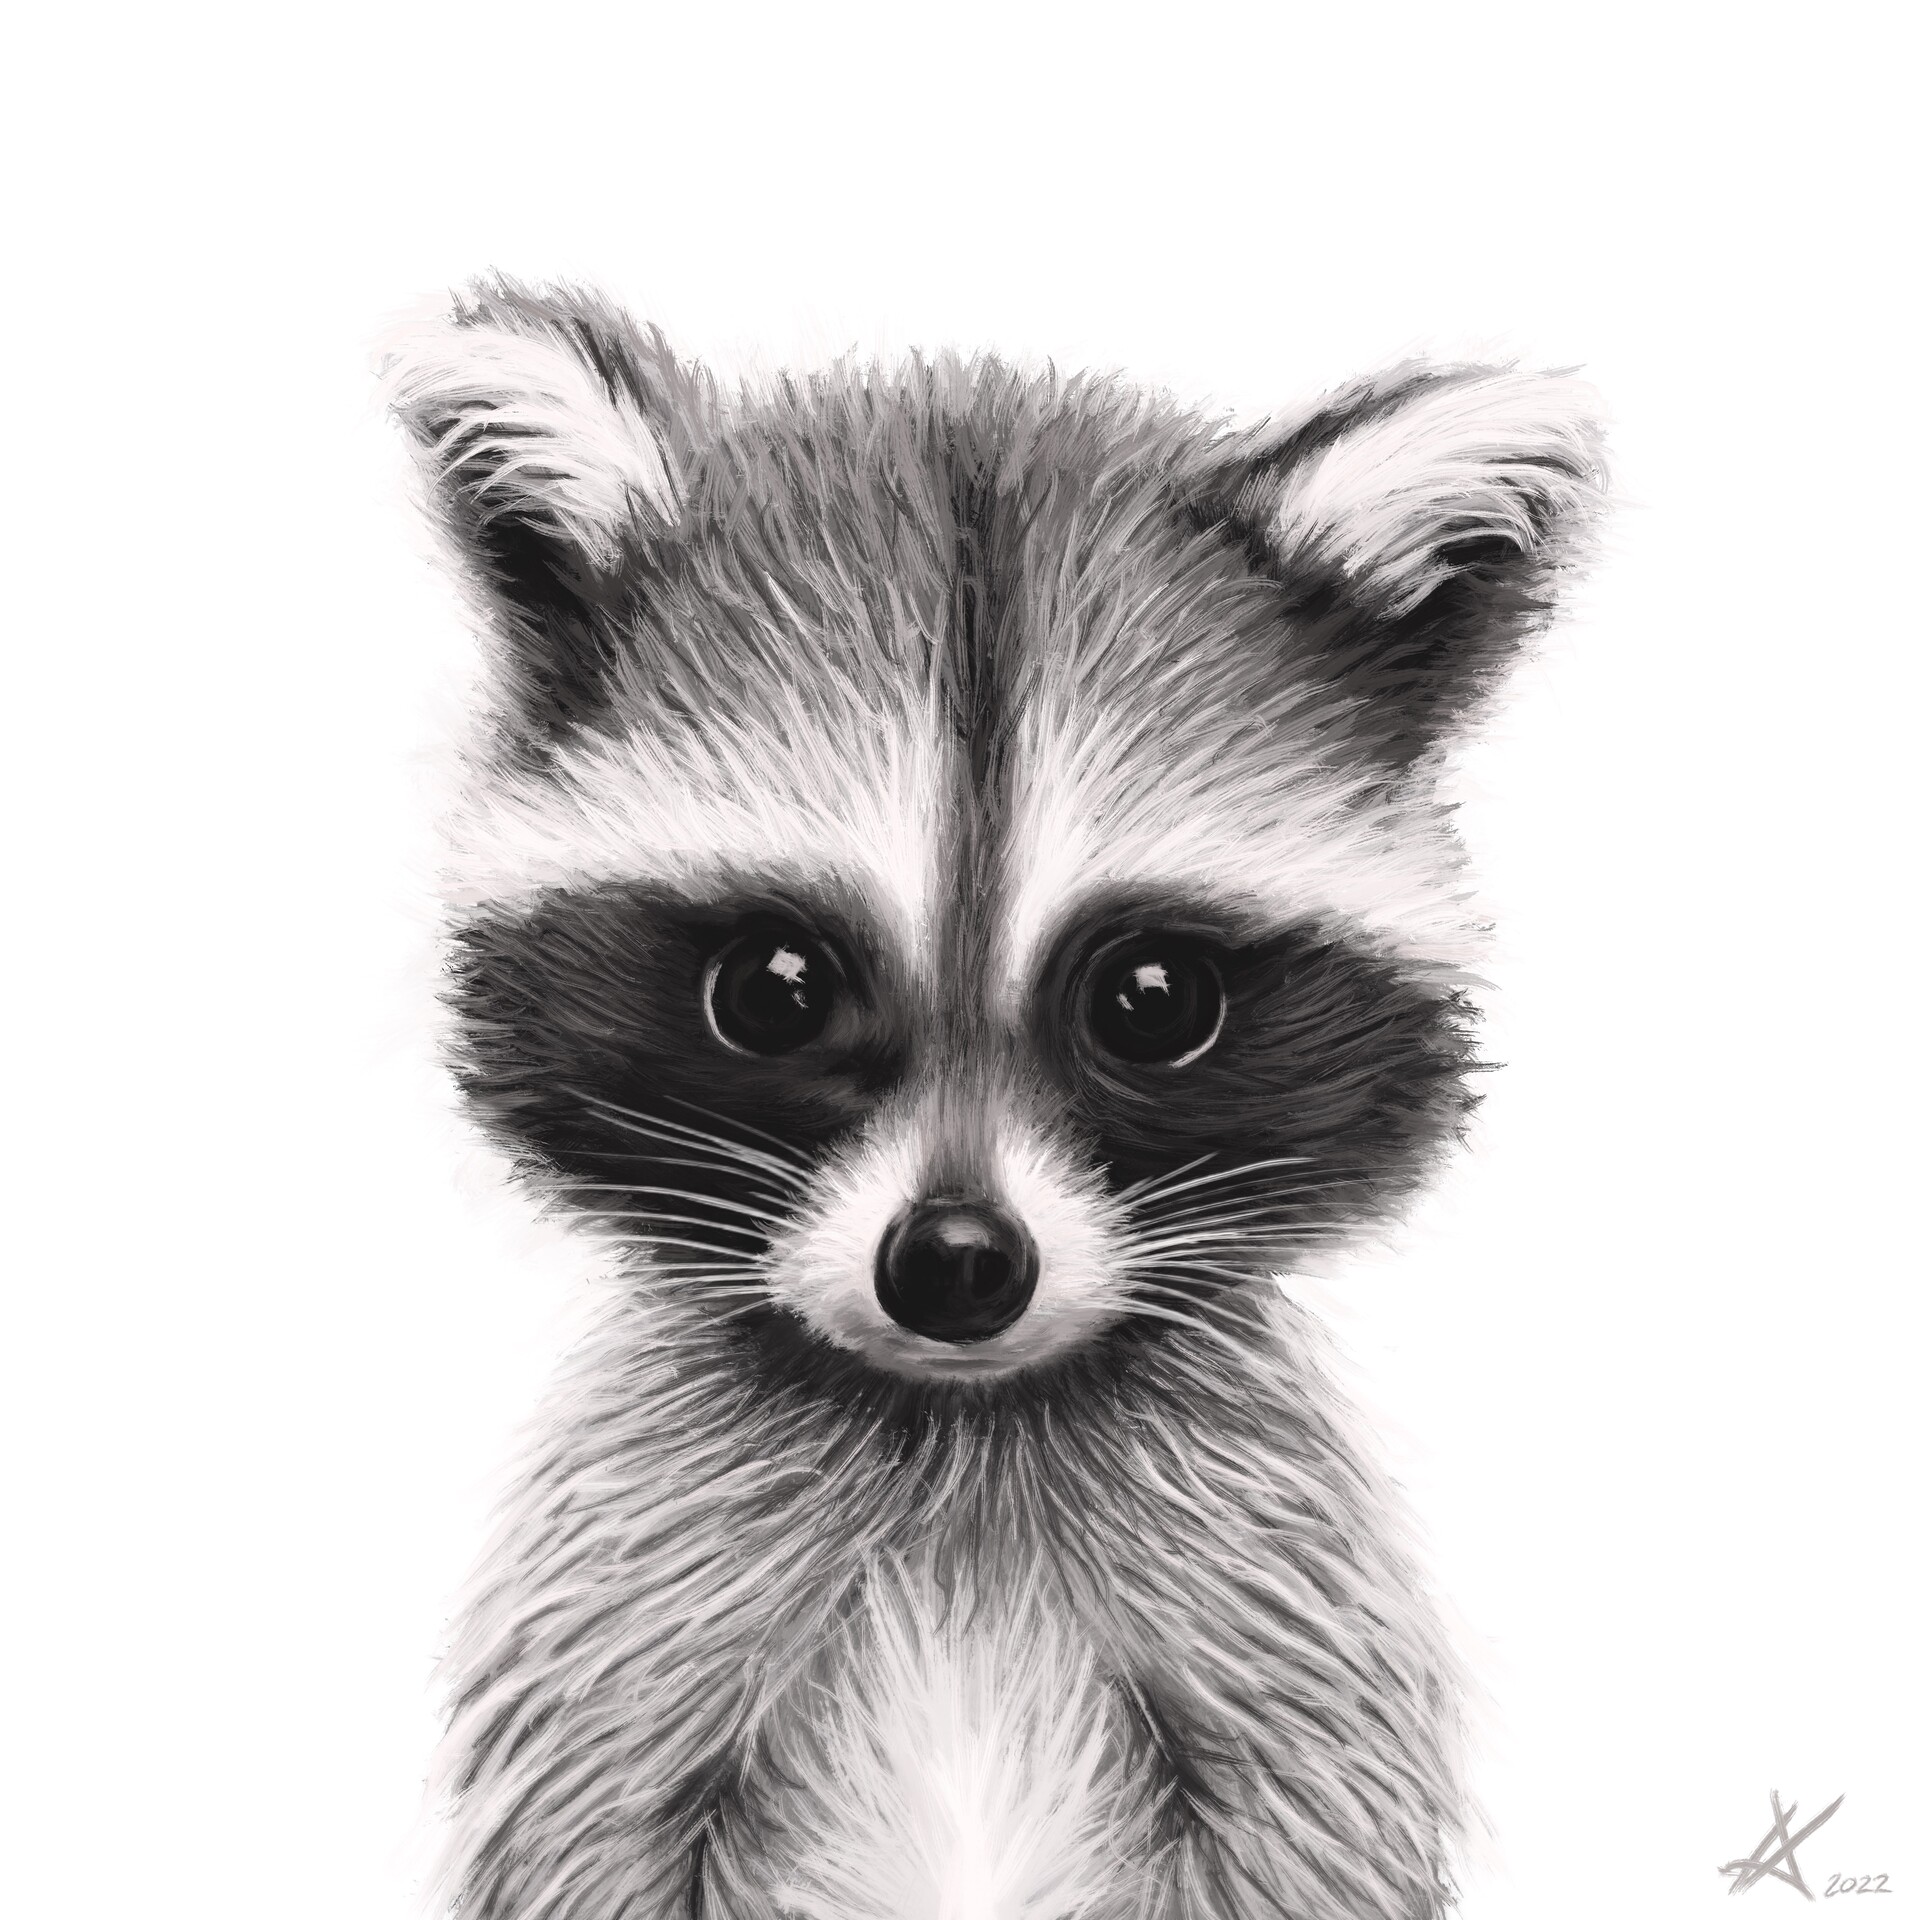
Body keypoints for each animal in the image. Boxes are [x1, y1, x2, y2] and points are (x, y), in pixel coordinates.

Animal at [386, 279, 1605, 1920]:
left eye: (1151, 1001)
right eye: (774, 988)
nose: (958, 1266)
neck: (955, 1429)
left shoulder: (1279, 1603)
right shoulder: (630, 1609)